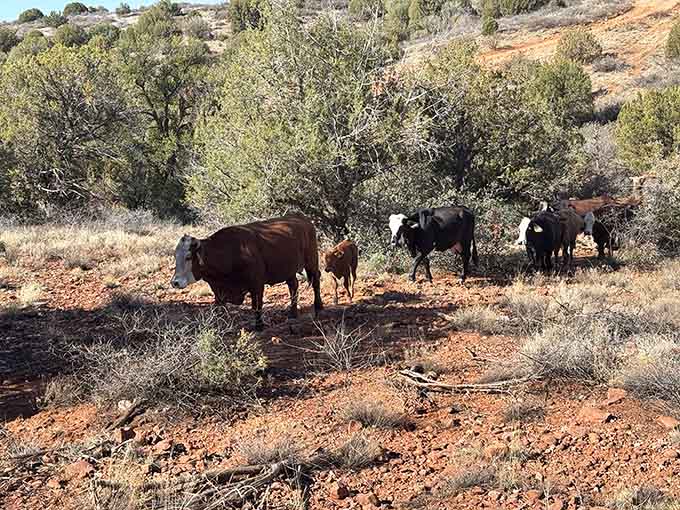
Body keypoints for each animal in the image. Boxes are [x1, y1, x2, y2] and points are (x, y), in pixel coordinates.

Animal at [170, 214, 323, 330]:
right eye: (175, 256)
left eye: (188, 257)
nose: (175, 282)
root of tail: (302, 218)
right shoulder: (218, 291)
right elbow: (219, 308)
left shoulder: (257, 284)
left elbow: (257, 306)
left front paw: (259, 326)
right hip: (289, 270)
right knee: (293, 286)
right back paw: (292, 313)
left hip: (311, 261)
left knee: (316, 280)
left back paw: (318, 307)